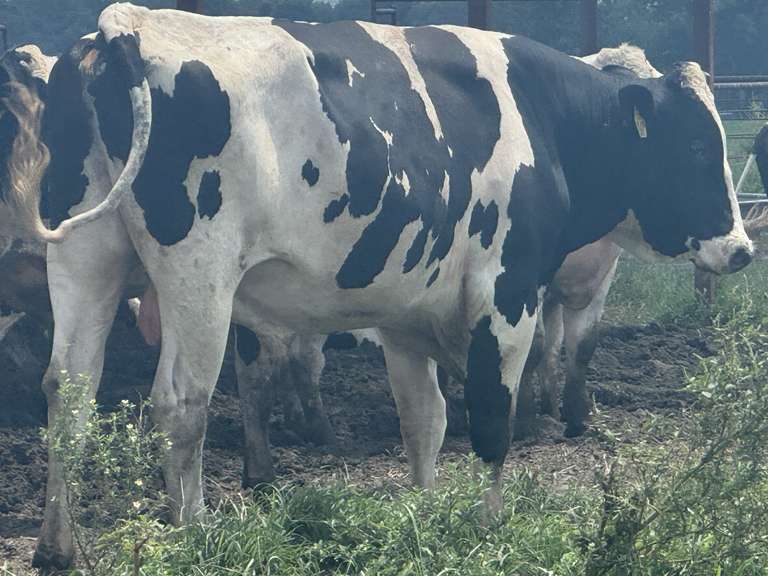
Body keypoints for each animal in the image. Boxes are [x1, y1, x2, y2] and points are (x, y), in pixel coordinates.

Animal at [1, 5, 752, 570]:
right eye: (693, 146)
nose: (743, 249)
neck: (544, 119)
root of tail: (125, 26)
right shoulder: (506, 295)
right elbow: (493, 418)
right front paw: (489, 527)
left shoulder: (404, 315)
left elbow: (424, 421)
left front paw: (425, 514)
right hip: (199, 275)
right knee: (181, 403)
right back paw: (195, 535)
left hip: (85, 259)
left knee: (68, 392)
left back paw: (58, 548)